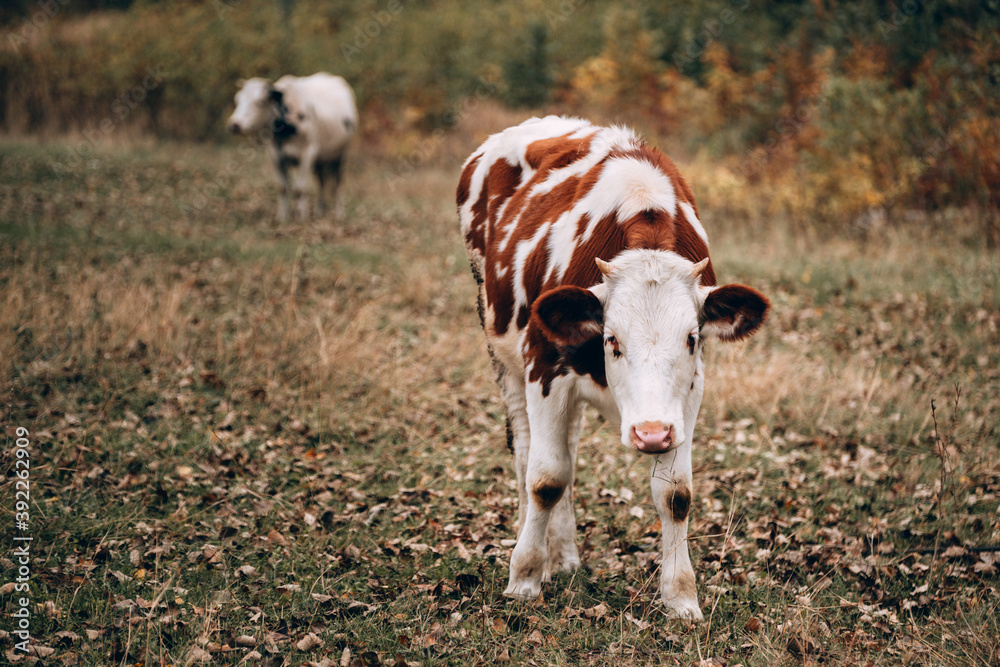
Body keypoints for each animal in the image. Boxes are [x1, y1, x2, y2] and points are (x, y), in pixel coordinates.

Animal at [227, 72, 358, 222]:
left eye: (260, 101)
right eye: (237, 100)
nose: (234, 125)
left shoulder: (308, 152)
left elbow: (300, 188)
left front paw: (302, 218)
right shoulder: (276, 155)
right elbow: (282, 187)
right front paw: (283, 217)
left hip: (340, 154)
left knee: (337, 183)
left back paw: (338, 214)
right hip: (320, 158)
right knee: (321, 182)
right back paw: (319, 212)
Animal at [457, 116, 770, 620]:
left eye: (692, 339)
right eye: (611, 340)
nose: (651, 434)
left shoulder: (687, 394)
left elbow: (675, 494)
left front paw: (681, 596)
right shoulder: (545, 367)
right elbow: (545, 478)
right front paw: (524, 577)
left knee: (568, 451)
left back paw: (564, 555)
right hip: (501, 352)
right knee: (527, 453)